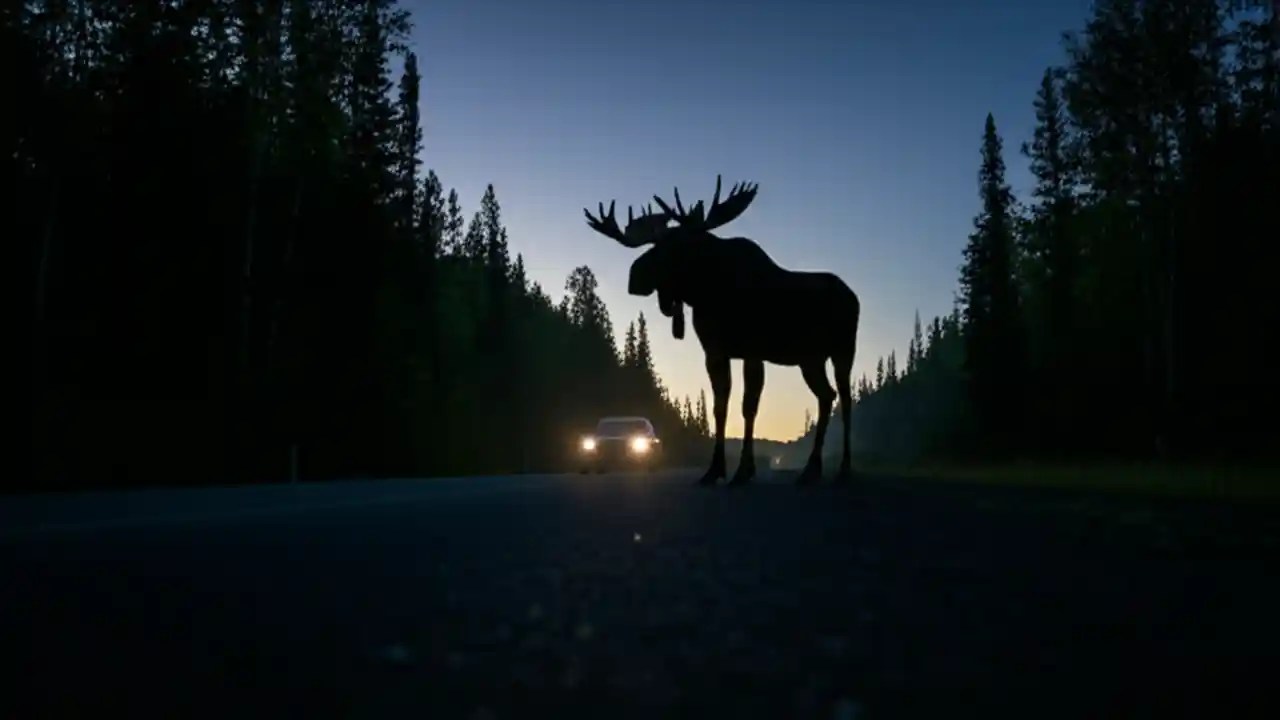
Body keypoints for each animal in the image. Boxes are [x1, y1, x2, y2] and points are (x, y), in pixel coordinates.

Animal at [584, 176, 861, 486]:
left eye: (677, 246)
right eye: (653, 244)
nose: (635, 276)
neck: (708, 291)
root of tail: (853, 296)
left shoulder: (753, 351)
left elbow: (748, 407)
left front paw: (742, 471)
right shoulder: (715, 352)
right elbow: (720, 407)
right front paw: (715, 469)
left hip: (843, 351)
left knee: (845, 400)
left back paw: (843, 469)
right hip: (810, 360)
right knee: (826, 397)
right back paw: (811, 469)